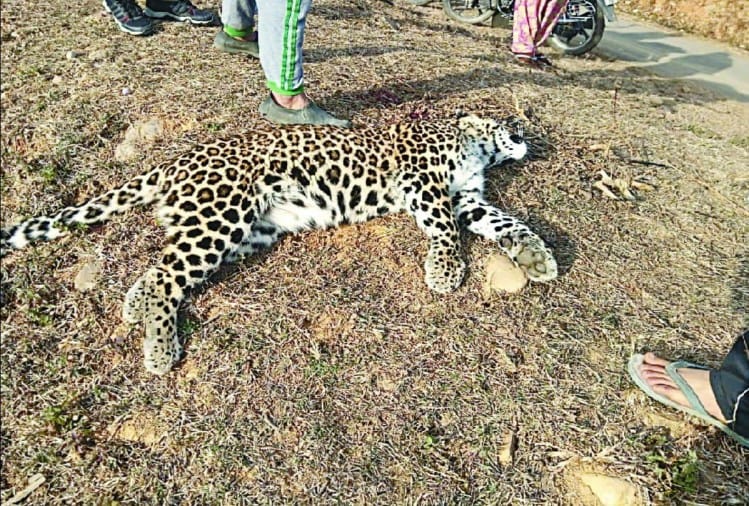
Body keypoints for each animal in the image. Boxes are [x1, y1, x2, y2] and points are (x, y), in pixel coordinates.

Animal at [1, 114, 558, 375]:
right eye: (510, 124)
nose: (528, 137)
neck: (476, 149)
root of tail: (174, 161)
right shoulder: (424, 182)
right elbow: (443, 227)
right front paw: (445, 270)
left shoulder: (468, 198)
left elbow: (506, 223)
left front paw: (536, 257)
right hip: (220, 219)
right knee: (166, 280)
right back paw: (160, 350)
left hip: (247, 231)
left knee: (158, 271)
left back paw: (135, 309)